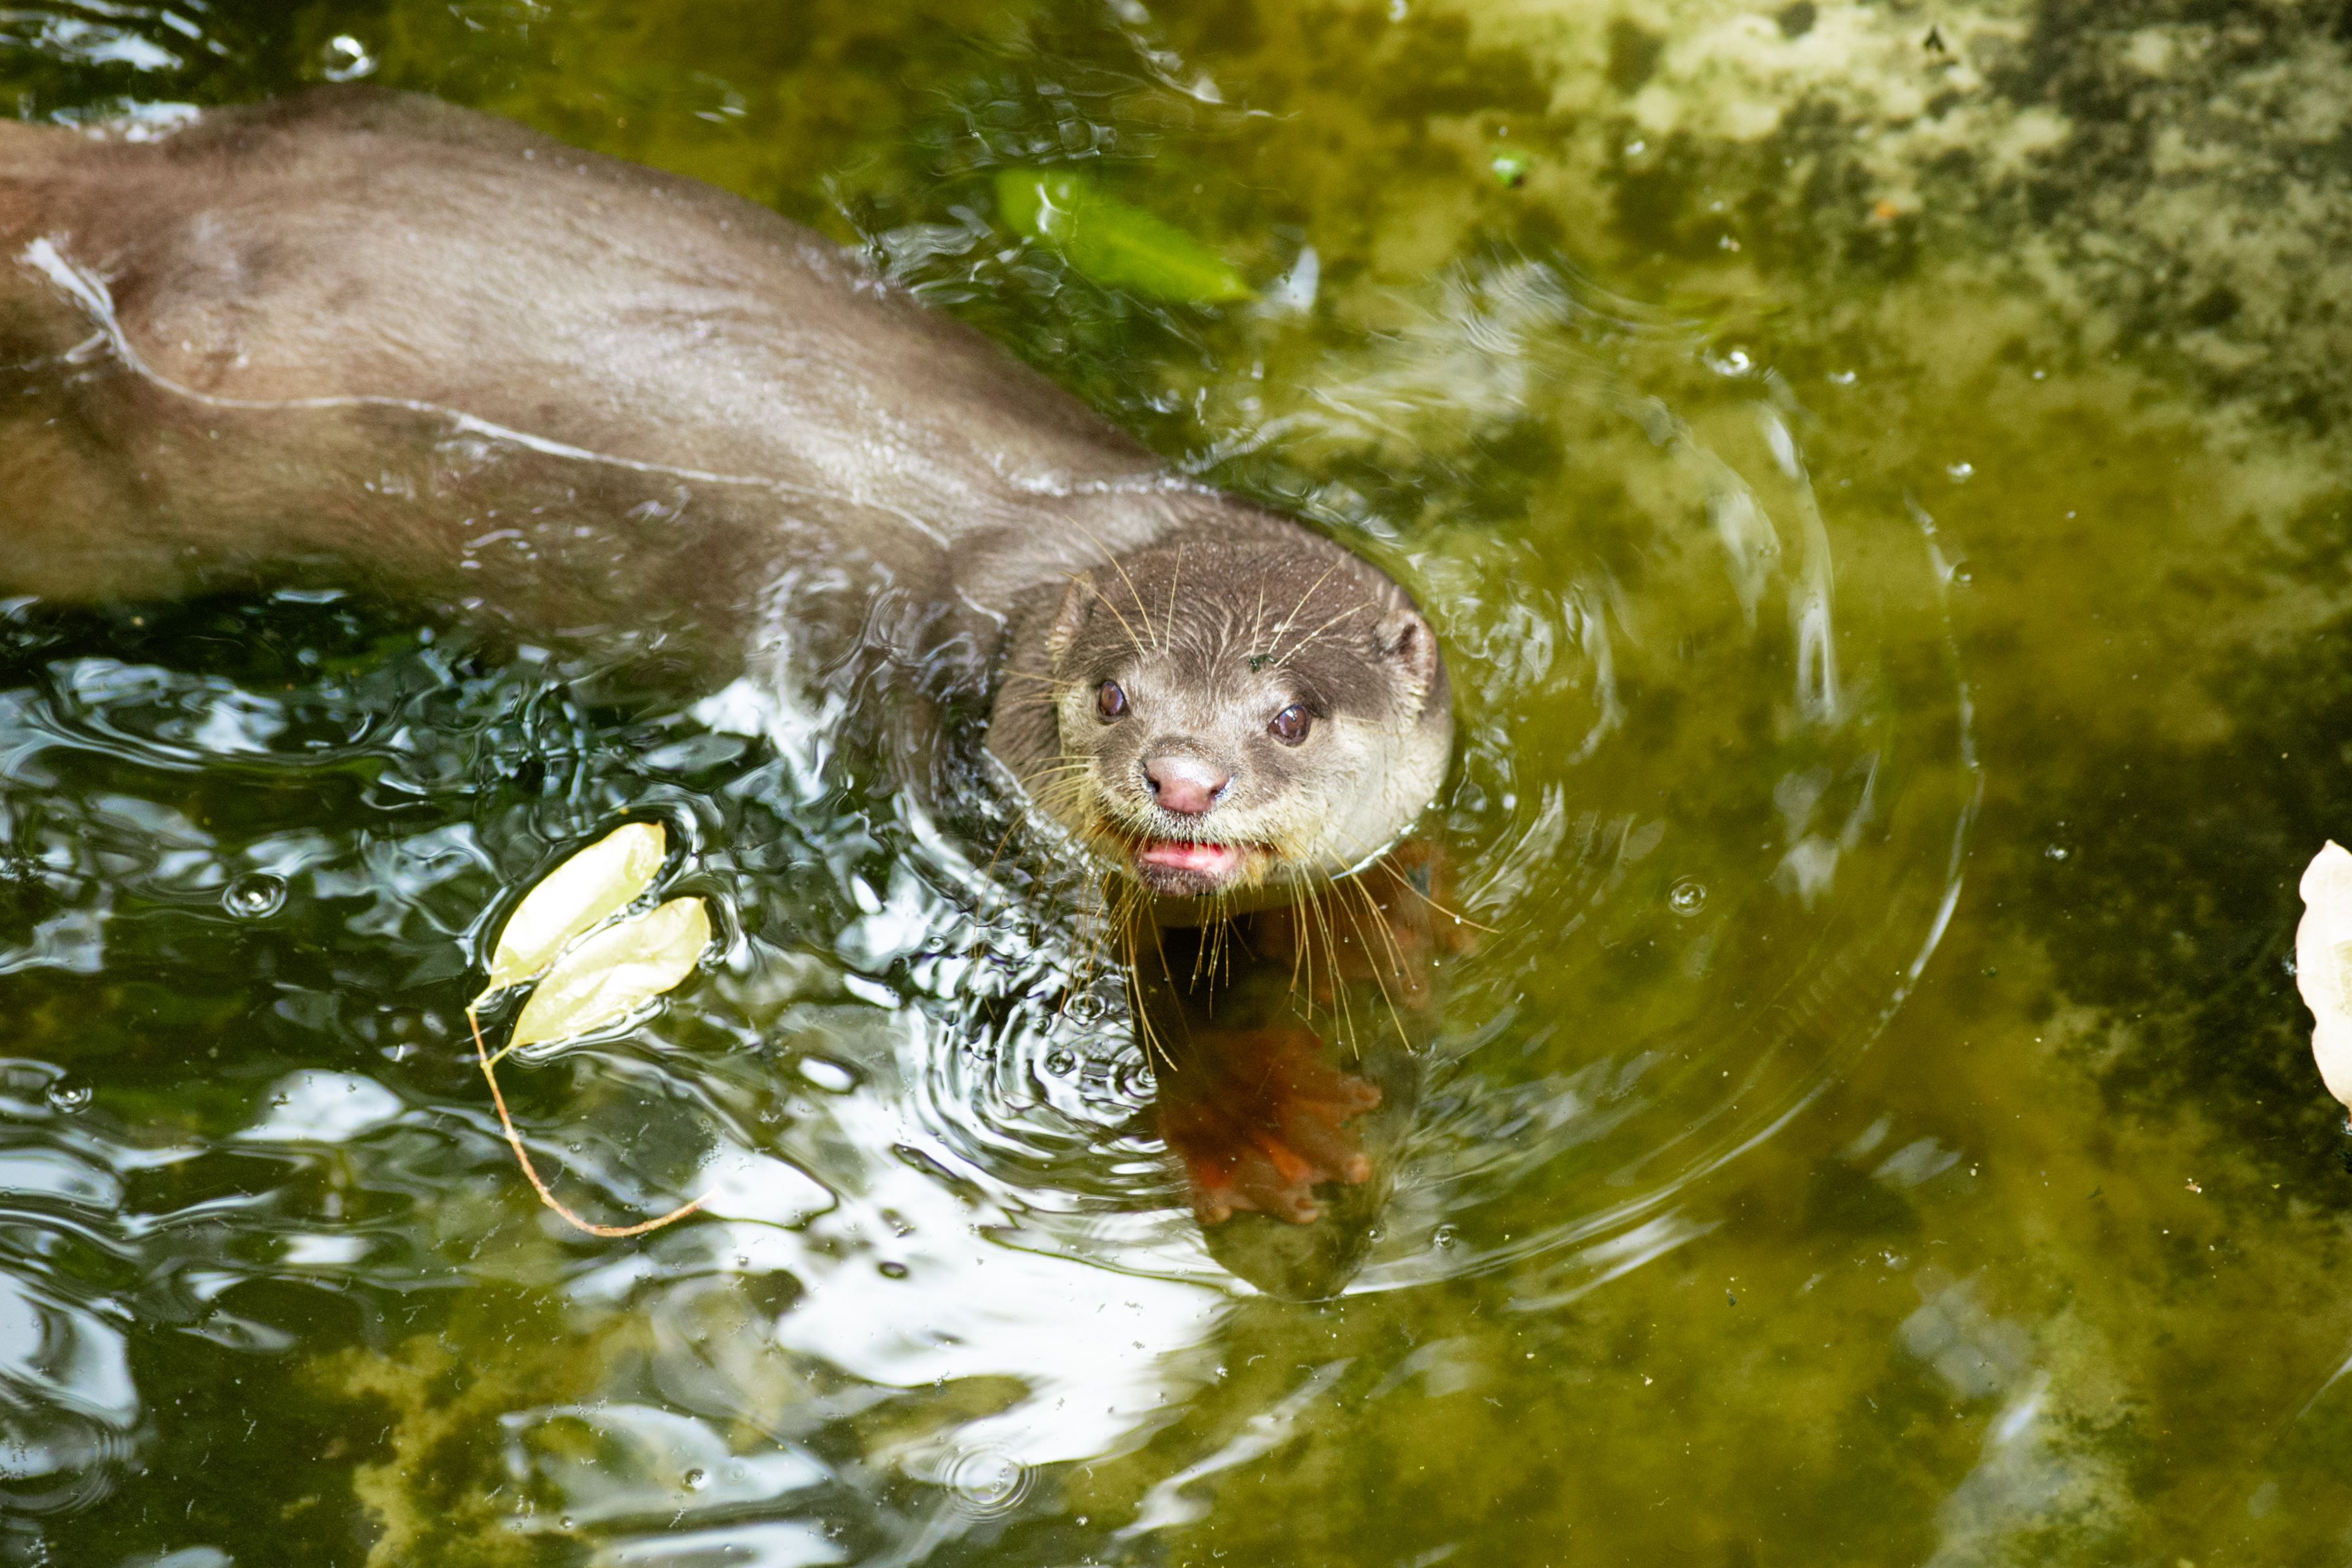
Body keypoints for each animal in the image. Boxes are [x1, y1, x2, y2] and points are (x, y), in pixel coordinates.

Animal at [0, 89, 1453, 1246]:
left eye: (1291, 715)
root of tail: (159, 200)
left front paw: (1393, 924)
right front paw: (1257, 1118)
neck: (1064, 543)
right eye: (1113, 696)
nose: (1182, 777)